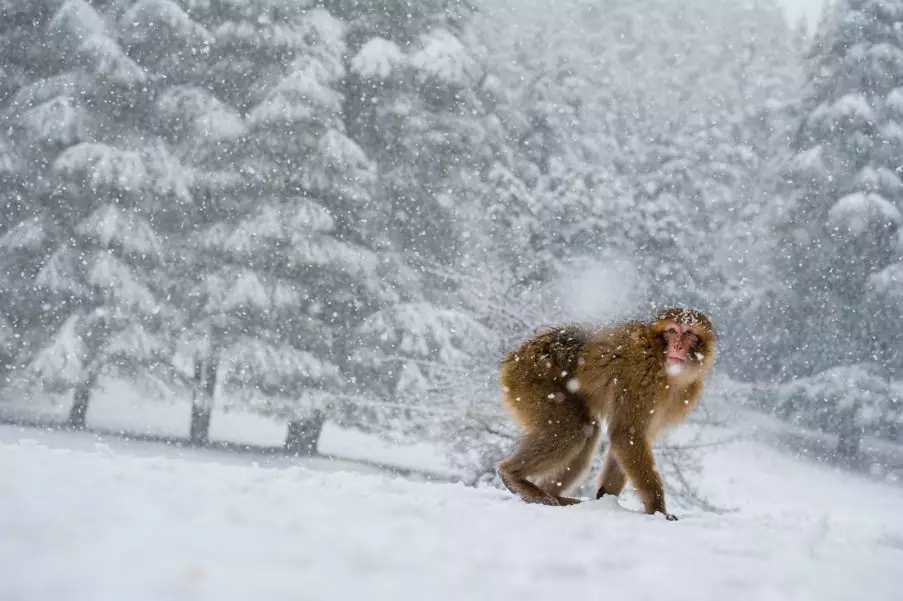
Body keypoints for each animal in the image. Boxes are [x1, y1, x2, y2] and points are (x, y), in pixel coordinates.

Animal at [498, 308, 716, 516]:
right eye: (672, 331)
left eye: (689, 334)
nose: (678, 346)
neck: (664, 368)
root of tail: (512, 358)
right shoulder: (639, 378)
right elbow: (627, 435)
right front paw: (657, 509)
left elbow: (629, 439)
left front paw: (606, 497)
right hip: (531, 381)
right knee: (571, 429)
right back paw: (511, 476)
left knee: (587, 430)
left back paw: (552, 494)